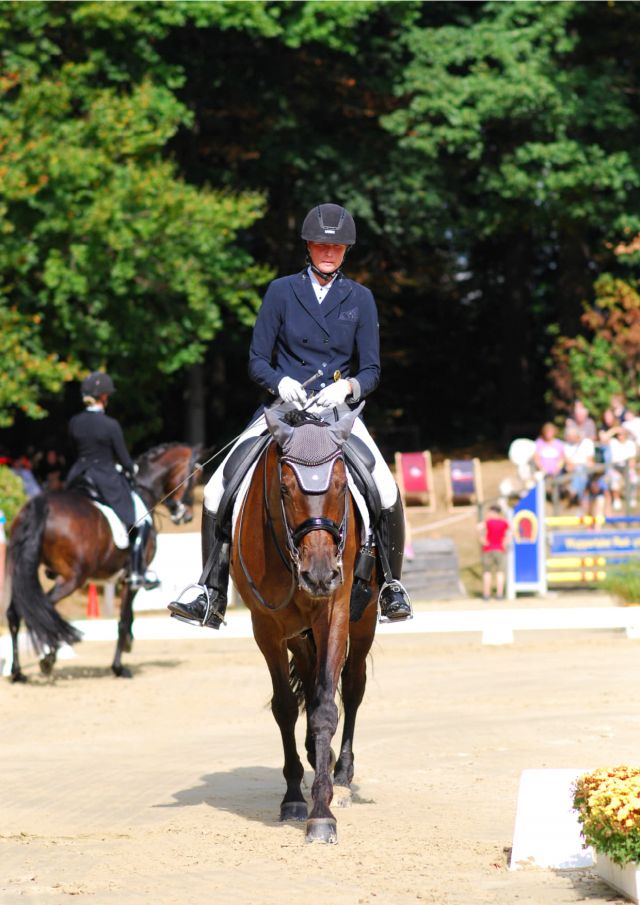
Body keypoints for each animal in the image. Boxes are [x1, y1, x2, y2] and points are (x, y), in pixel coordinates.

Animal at [5, 442, 202, 682]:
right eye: (194, 476)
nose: (187, 516)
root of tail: (40, 506)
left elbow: (128, 618)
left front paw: (128, 644)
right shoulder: (130, 579)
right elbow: (124, 619)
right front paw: (119, 666)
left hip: (24, 571)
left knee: (17, 613)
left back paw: (18, 672)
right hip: (73, 579)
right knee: (43, 610)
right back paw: (48, 658)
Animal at [231, 405, 378, 844]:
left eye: (342, 486)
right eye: (284, 489)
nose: (320, 575)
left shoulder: (334, 614)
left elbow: (327, 707)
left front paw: (322, 812)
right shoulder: (266, 627)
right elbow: (284, 707)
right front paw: (295, 798)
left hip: (363, 624)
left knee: (352, 687)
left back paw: (341, 773)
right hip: (297, 635)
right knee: (310, 682)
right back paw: (319, 757)